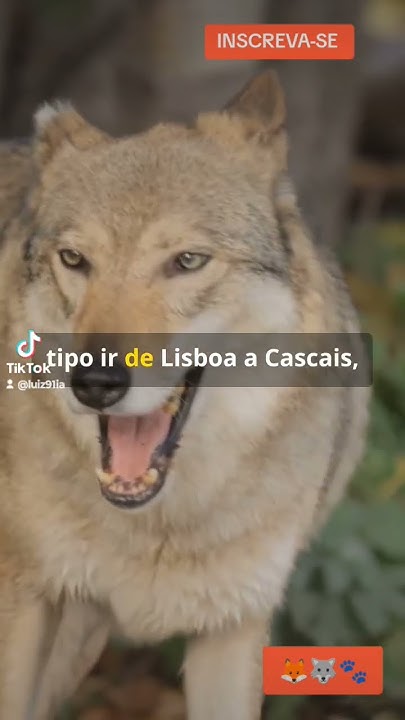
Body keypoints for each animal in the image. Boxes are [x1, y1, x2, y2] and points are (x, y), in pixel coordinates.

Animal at [0, 71, 370, 720]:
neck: (162, 526)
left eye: (188, 261)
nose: (93, 382)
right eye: (75, 259)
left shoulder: (234, 626)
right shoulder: (26, 599)